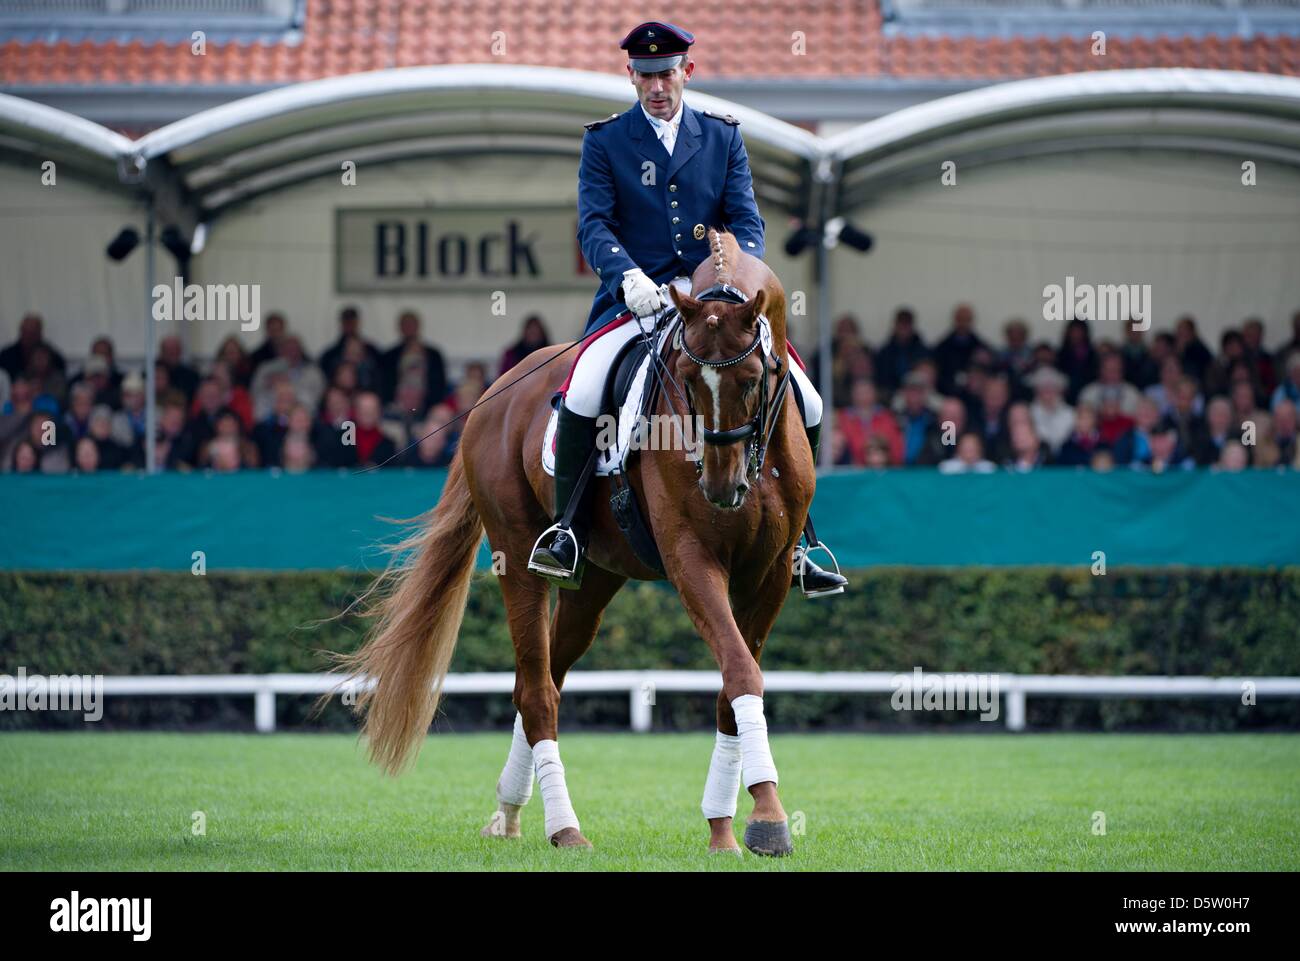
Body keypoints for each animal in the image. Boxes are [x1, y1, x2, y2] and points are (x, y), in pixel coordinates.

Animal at [335, 229, 814, 856]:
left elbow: (735, 687)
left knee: (541, 681)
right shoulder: (692, 560)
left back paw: (508, 813)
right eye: (686, 379)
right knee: (537, 693)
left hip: (597, 581)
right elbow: (740, 671)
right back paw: (564, 828)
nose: (718, 487)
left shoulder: (771, 571)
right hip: (518, 558)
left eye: (754, 378)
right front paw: (768, 816)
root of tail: (493, 393)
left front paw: (724, 830)